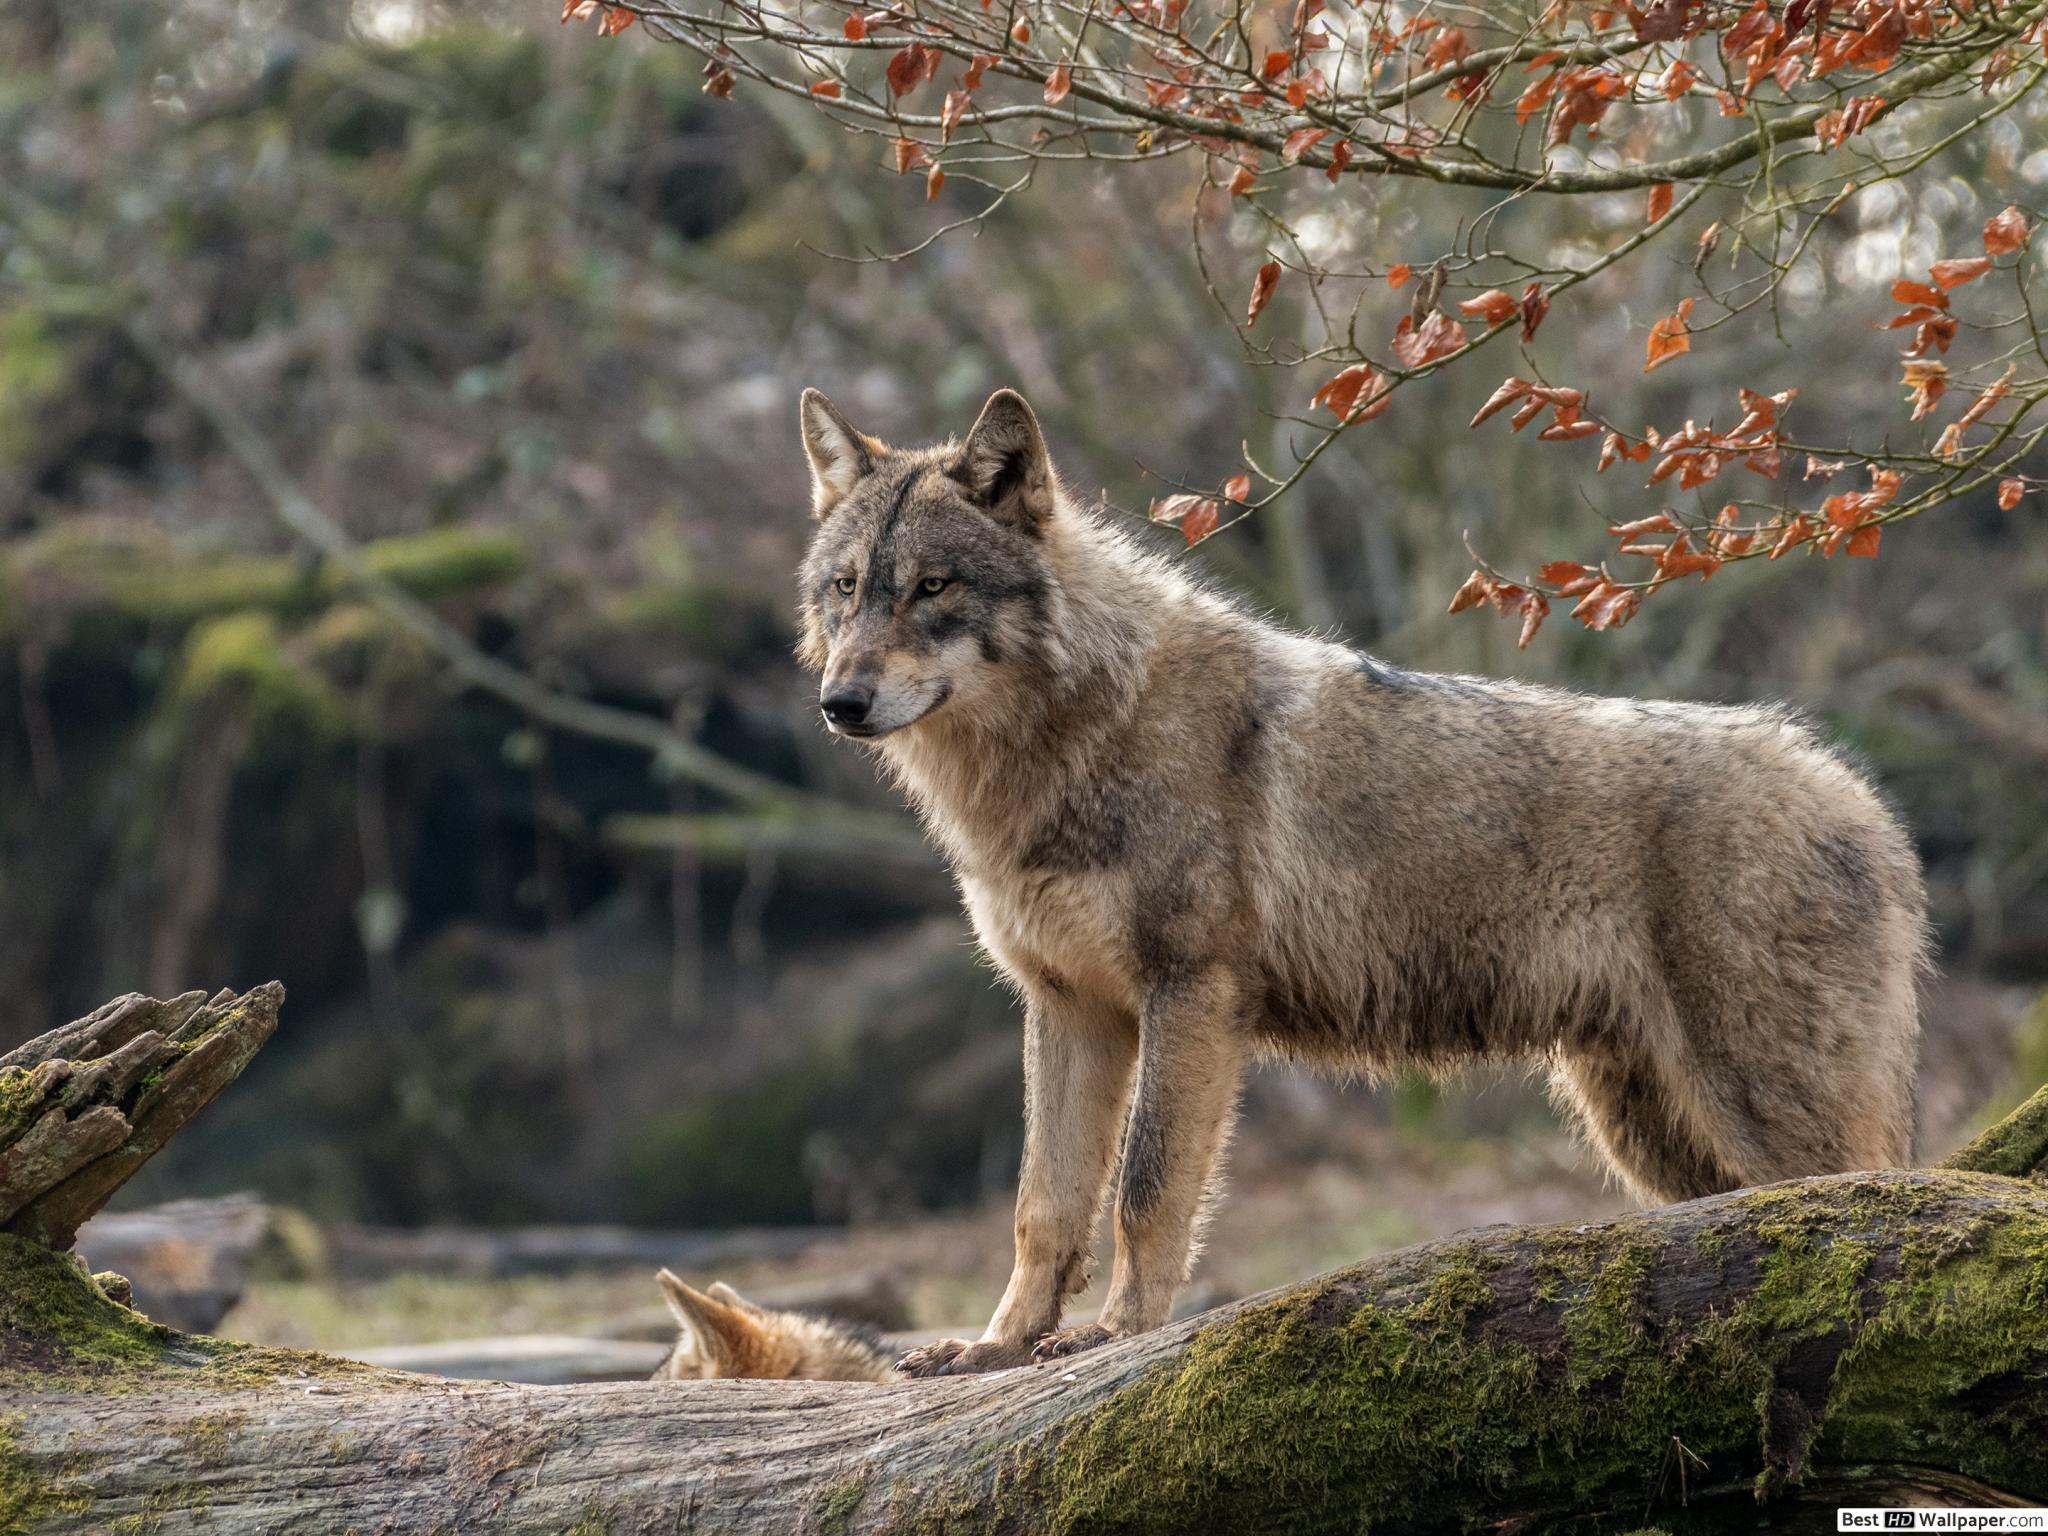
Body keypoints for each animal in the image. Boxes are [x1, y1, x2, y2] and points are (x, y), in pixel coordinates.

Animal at [794, 386, 1926, 1377]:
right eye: (847, 588)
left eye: (933, 587)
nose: (839, 703)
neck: (1067, 742)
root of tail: (1860, 798)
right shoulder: (1069, 1007)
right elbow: (1044, 1205)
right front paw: (997, 1348)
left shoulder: (1190, 994)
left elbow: (1146, 1189)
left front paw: (1115, 1334)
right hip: (1651, 1135)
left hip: (1753, 1113)